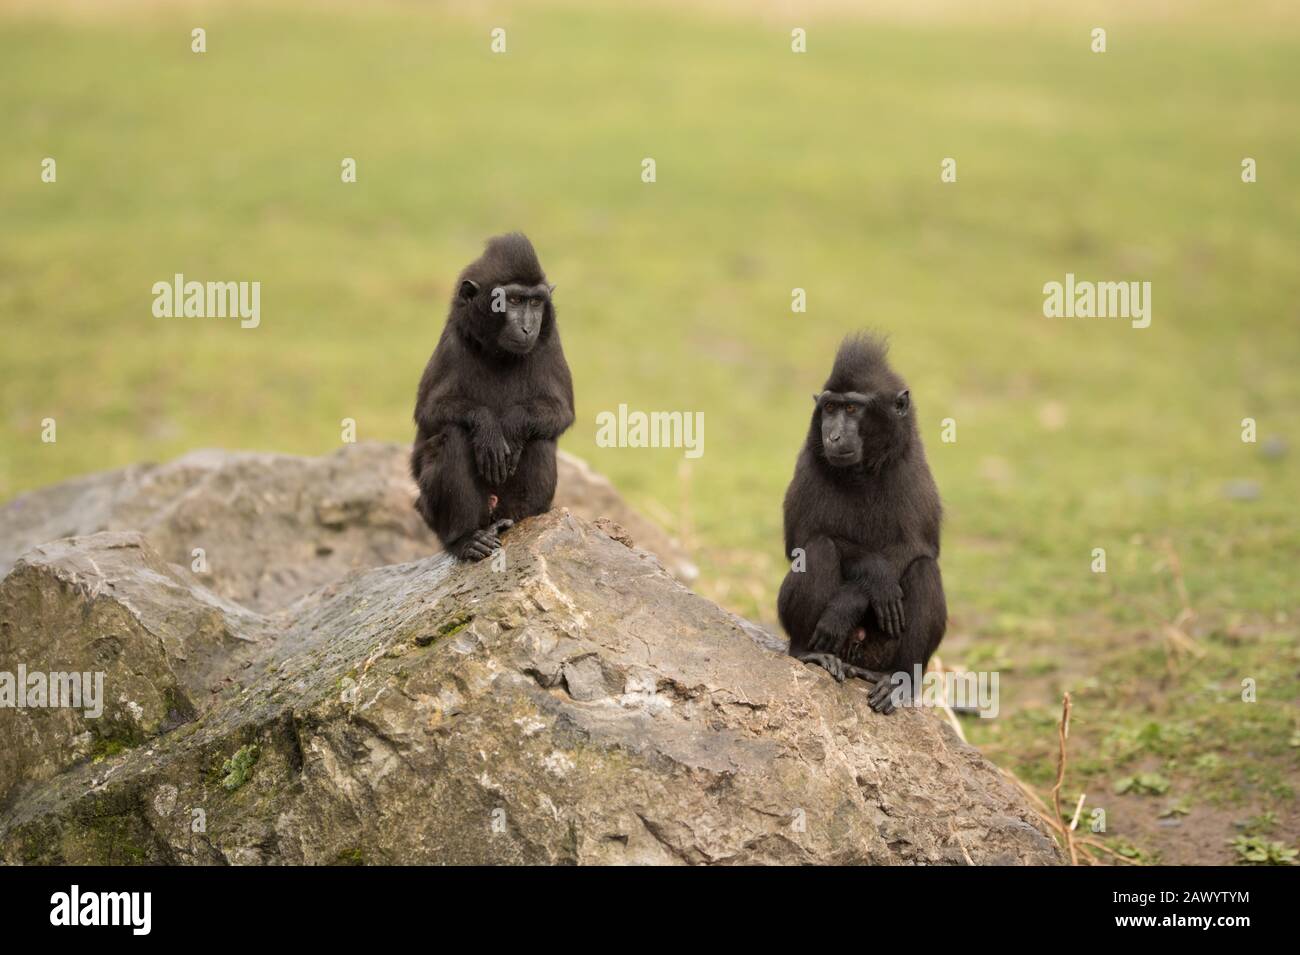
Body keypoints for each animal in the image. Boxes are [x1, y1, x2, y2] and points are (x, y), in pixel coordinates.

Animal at [410, 233, 575, 560]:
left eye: (535, 302)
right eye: (513, 300)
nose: (528, 327)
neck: (500, 354)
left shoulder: (550, 341)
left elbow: (561, 411)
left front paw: (512, 425)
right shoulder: (452, 342)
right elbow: (429, 412)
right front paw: (487, 427)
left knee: (539, 438)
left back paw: (522, 523)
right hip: (429, 510)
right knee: (454, 435)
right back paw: (467, 539)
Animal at [776, 333, 947, 714]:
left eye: (852, 409)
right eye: (830, 408)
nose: (833, 437)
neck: (863, 472)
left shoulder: (911, 466)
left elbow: (919, 547)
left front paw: (852, 600)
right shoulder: (808, 461)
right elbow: (801, 540)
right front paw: (874, 575)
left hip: (881, 651)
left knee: (923, 569)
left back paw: (900, 678)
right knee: (820, 549)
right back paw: (809, 652)